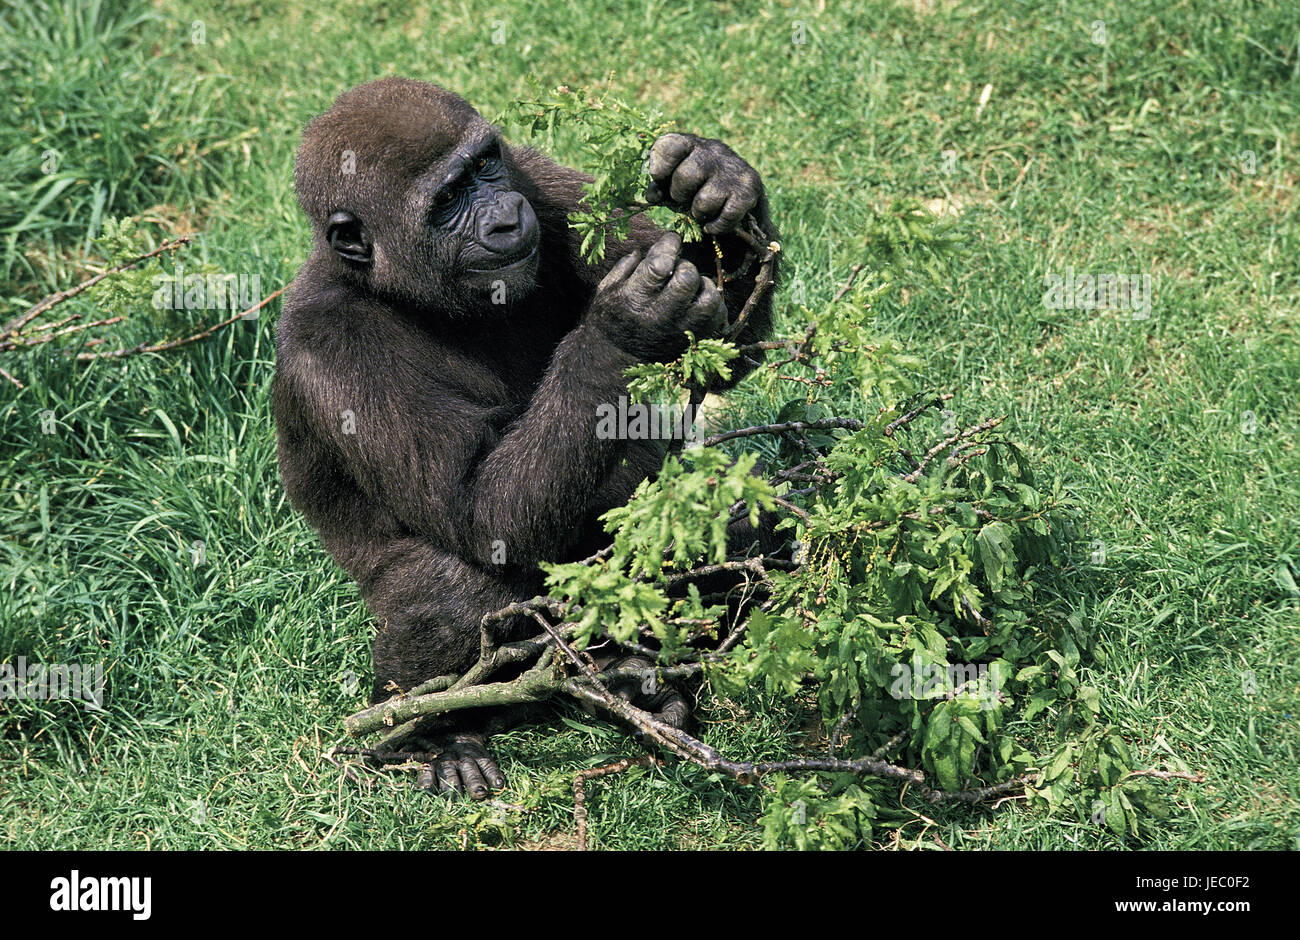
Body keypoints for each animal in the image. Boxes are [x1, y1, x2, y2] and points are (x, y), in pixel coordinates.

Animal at [272, 78, 779, 799]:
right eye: (447, 201)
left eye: (485, 167)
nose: (507, 221)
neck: (386, 285)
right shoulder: (333, 346)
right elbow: (483, 513)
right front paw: (627, 323)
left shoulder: (538, 180)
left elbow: (720, 349)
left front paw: (715, 179)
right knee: (452, 589)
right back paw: (438, 735)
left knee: (731, 523)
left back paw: (648, 682)